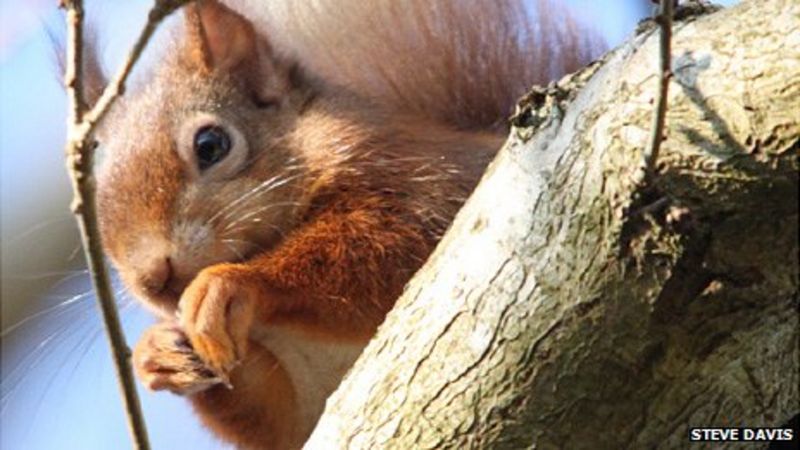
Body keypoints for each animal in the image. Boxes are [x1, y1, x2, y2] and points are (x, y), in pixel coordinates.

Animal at [87, 0, 600, 448]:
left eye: (211, 144)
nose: (152, 279)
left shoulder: (425, 182)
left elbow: (383, 248)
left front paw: (233, 284)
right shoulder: (298, 401)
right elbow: (270, 417)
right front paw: (158, 353)